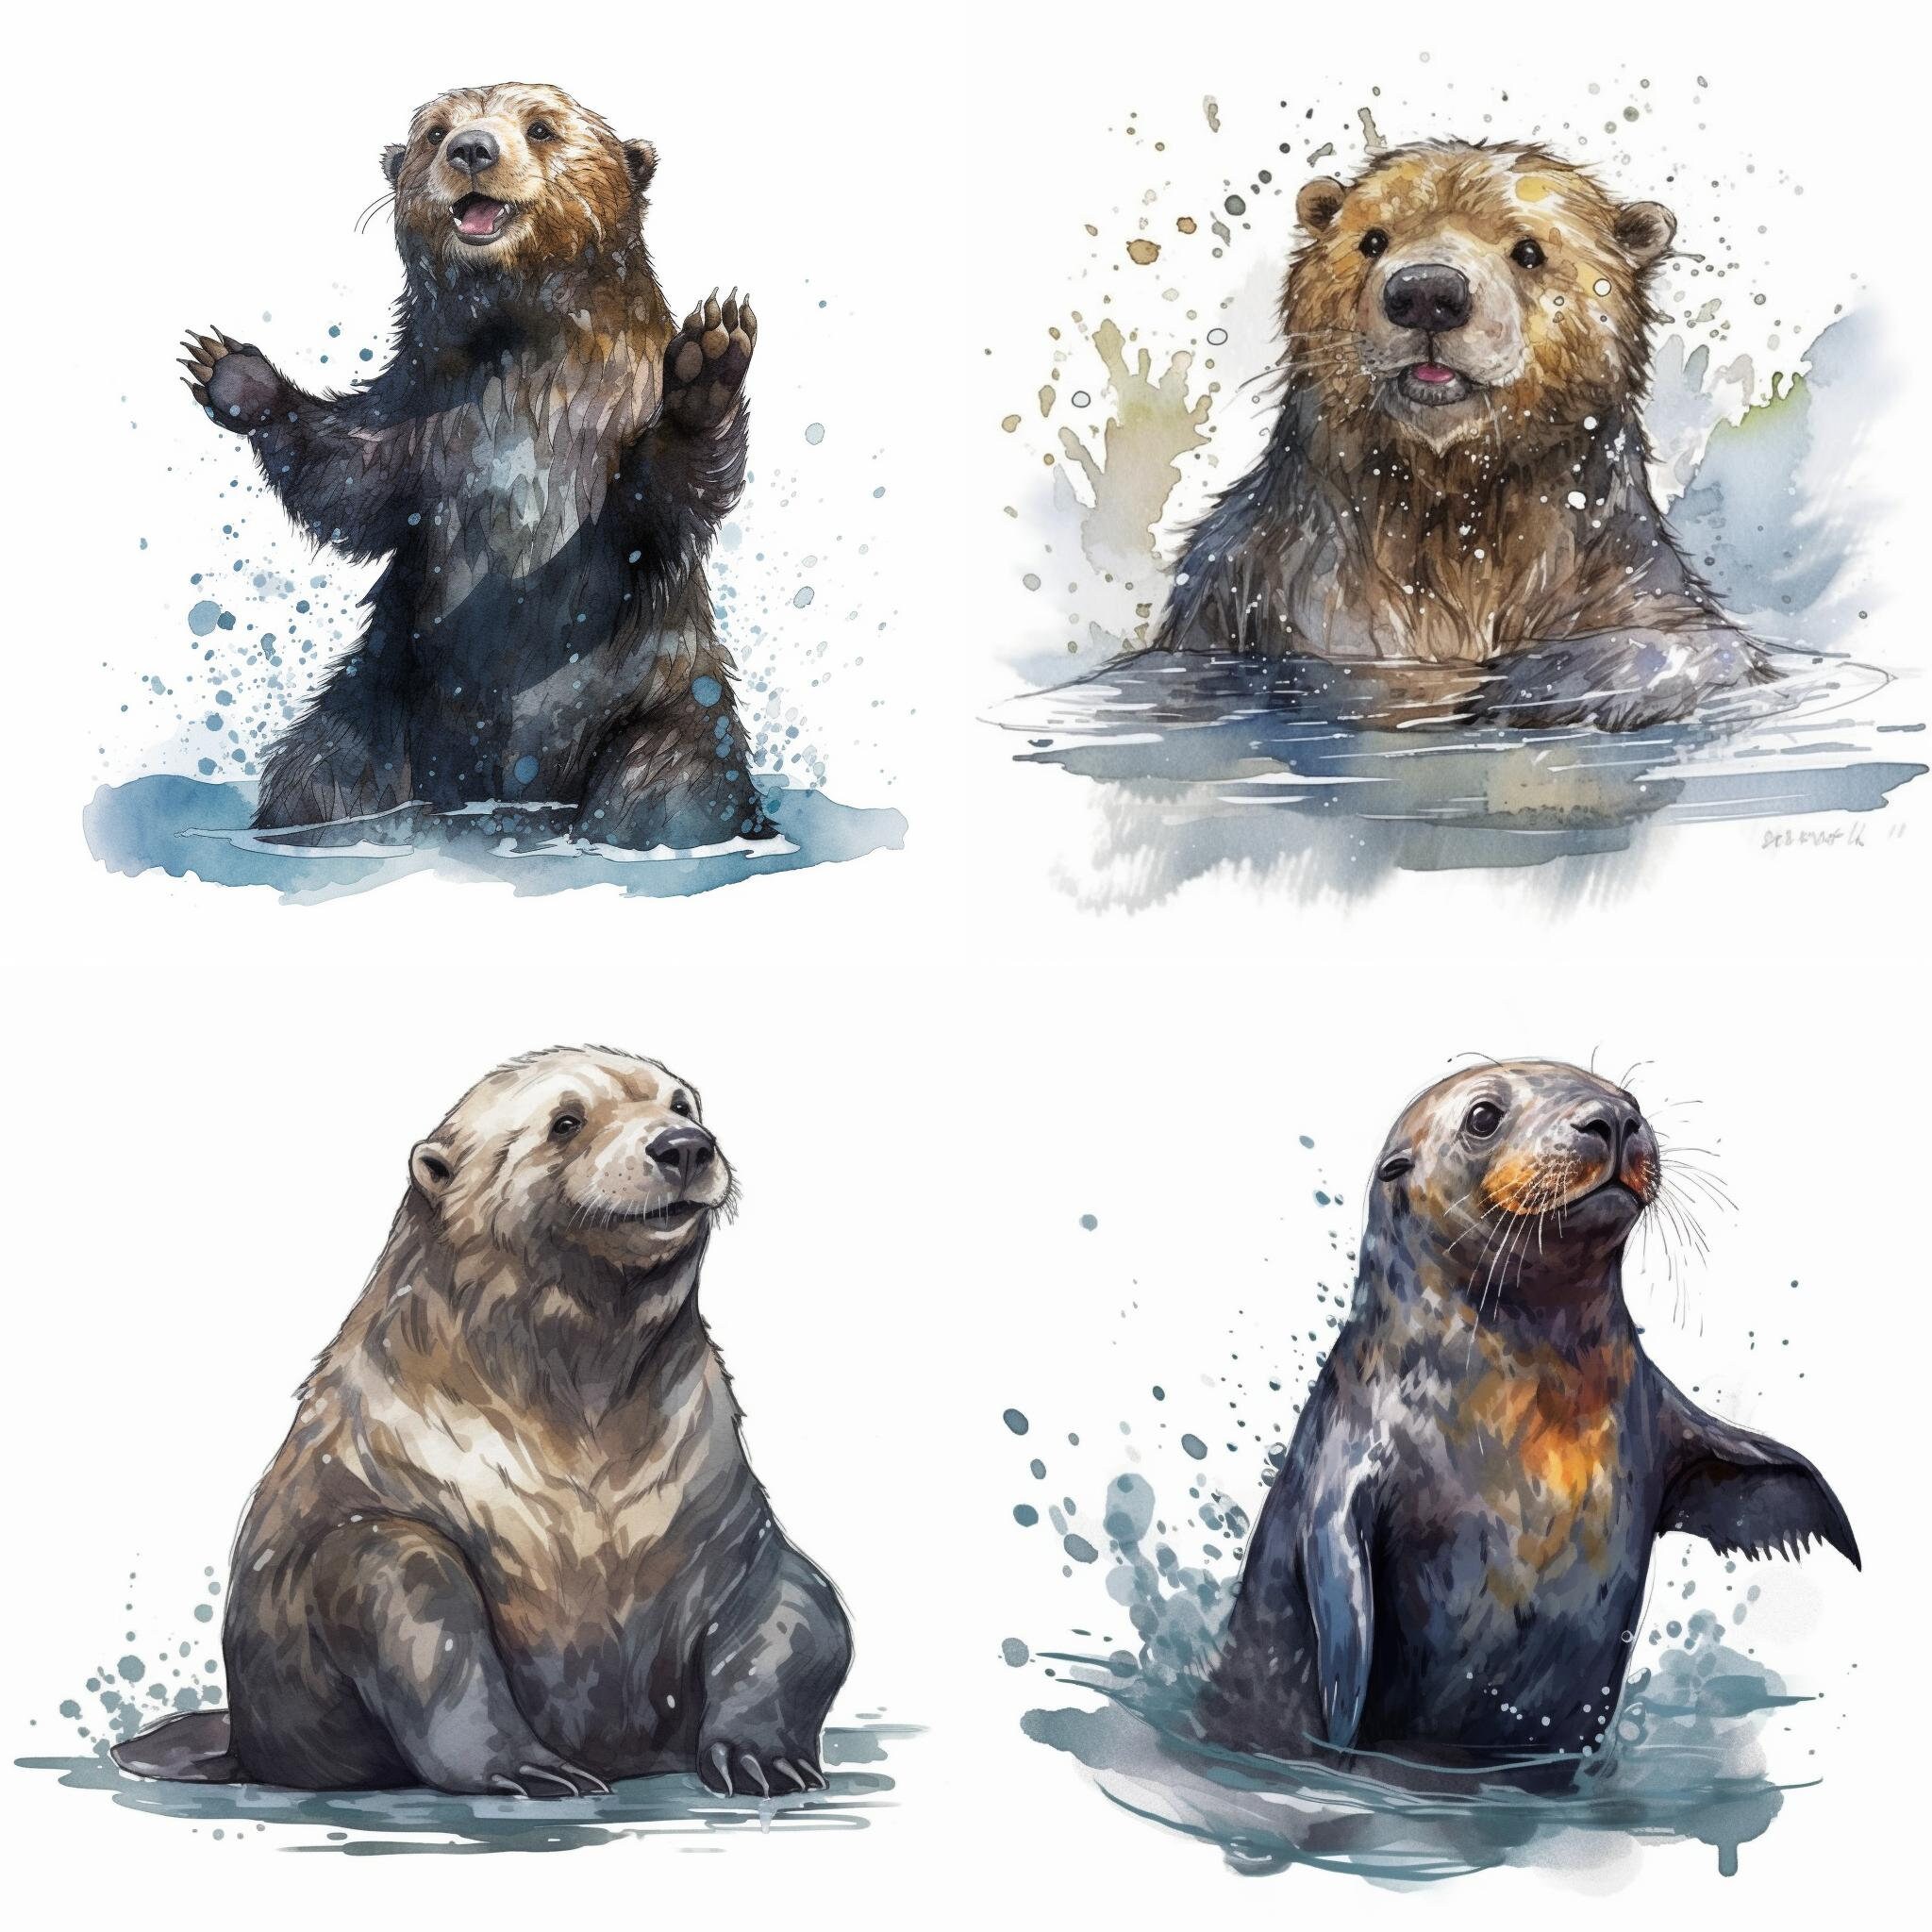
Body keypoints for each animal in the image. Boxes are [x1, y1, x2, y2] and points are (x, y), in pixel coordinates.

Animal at [113, 1047, 850, 1798]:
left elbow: (800, 1608)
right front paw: (530, 1769)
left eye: (683, 1104)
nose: (683, 1146)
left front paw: (764, 1758)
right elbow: (417, 1617)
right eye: (565, 1122)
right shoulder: (378, 1510)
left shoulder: (719, 1512)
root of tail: (239, 1742)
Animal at [182, 83, 769, 849]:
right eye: (434, 132)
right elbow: (353, 483)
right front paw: (236, 374)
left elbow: (663, 499)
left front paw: (708, 361)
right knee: (318, 779)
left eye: (543, 128)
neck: (521, 362)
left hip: (668, 714)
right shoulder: (418, 414)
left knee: (670, 794)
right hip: (377, 704)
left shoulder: (620, 413)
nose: (472, 149)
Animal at [1157, 142, 1767, 731]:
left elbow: (1695, 643)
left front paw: (1538, 679)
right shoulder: (1297, 585)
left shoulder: (1618, 566)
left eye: (1529, 251)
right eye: (1372, 240)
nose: (1427, 291)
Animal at [1198, 1060, 1857, 1774]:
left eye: (1631, 1100)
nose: (1613, 1119)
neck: (1539, 1423)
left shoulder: (1661, 1416)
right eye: (1484, 1116)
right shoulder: (1345, 1462)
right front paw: (1337, 1734)